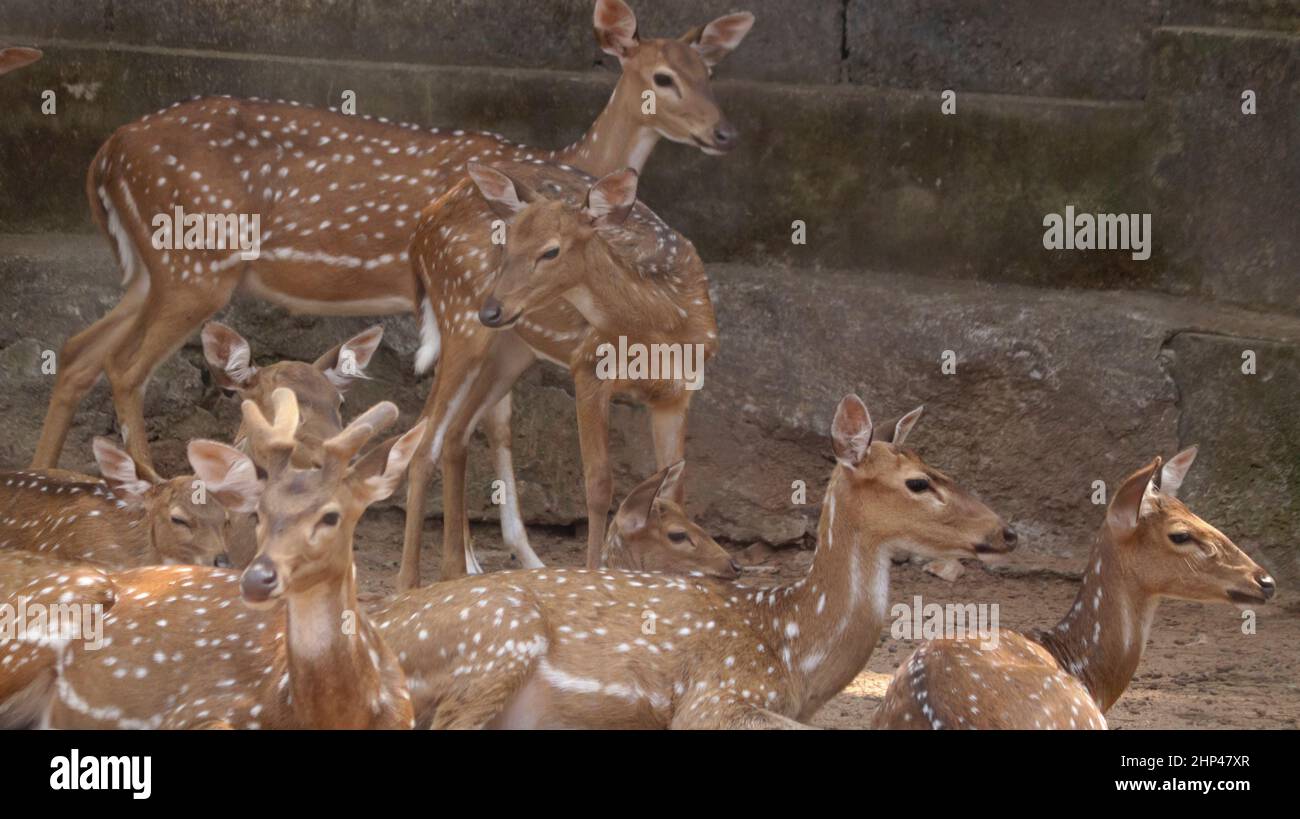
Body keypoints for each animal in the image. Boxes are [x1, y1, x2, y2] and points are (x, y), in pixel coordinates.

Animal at [30, 0, 754, 475]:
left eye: (711, 73)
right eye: (661, 77)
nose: (724, 132)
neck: (562, 162)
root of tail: (106, 154)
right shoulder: (472, 300)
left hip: (153, 269)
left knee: (78, 350)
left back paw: (47, 475)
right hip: (197, 260)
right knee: (124, 367)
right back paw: (151, 483)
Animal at [398, 159, 717, 586]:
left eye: (551, 251)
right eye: (505, 245)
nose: (491, 309)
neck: (664, 327)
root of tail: (421, 228)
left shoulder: (678, 392)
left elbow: (673, 488)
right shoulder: (589, 365)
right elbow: (598, 484)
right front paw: (595, 571)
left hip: (510, 350)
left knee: (454, 435)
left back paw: (458, 570)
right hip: (460, 322)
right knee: (423, 444)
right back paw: (409, 581)